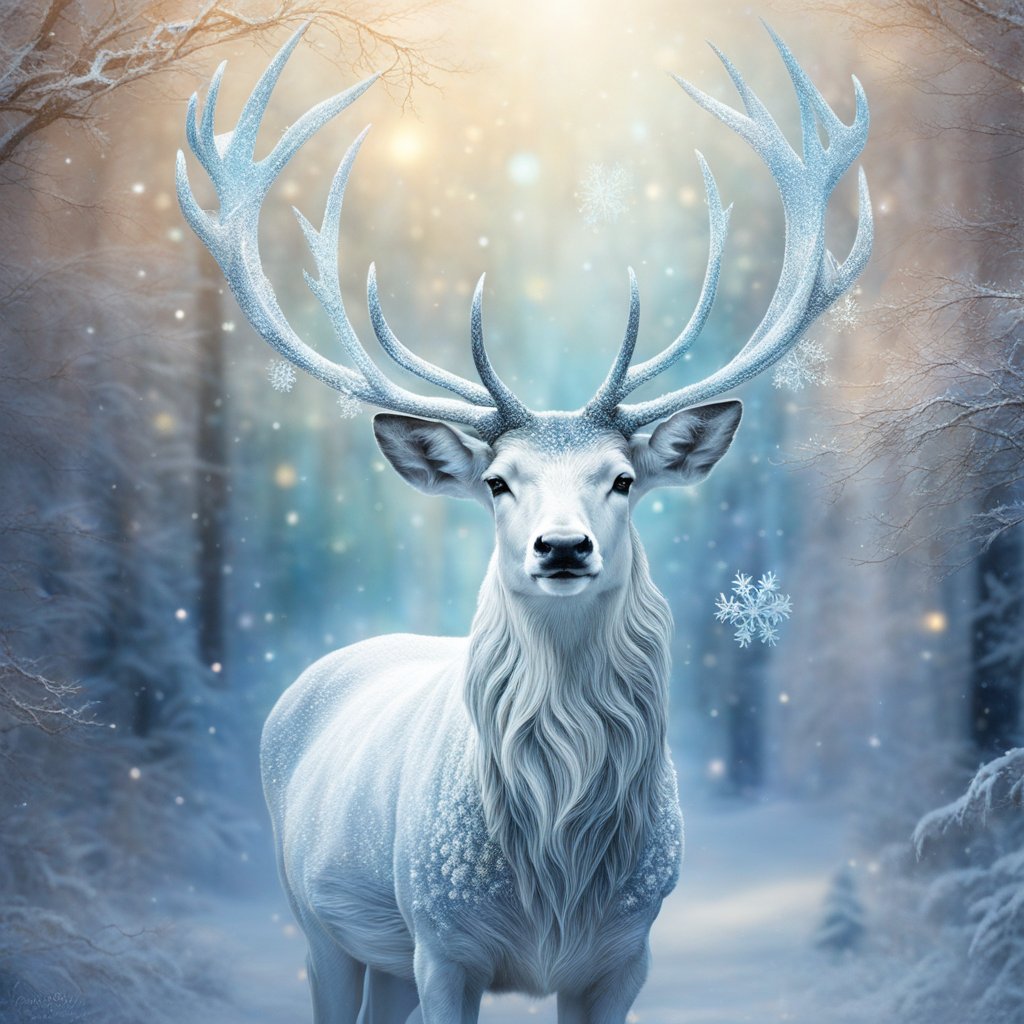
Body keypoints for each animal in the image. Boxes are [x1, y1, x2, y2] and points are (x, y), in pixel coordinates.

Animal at [176, 22, 870, 1024]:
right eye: (499, 483)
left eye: (623, 479)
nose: (564, 546)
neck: (558, 861)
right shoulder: (443, 941)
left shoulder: (623, 955)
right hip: (319, 922)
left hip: (385, 951)